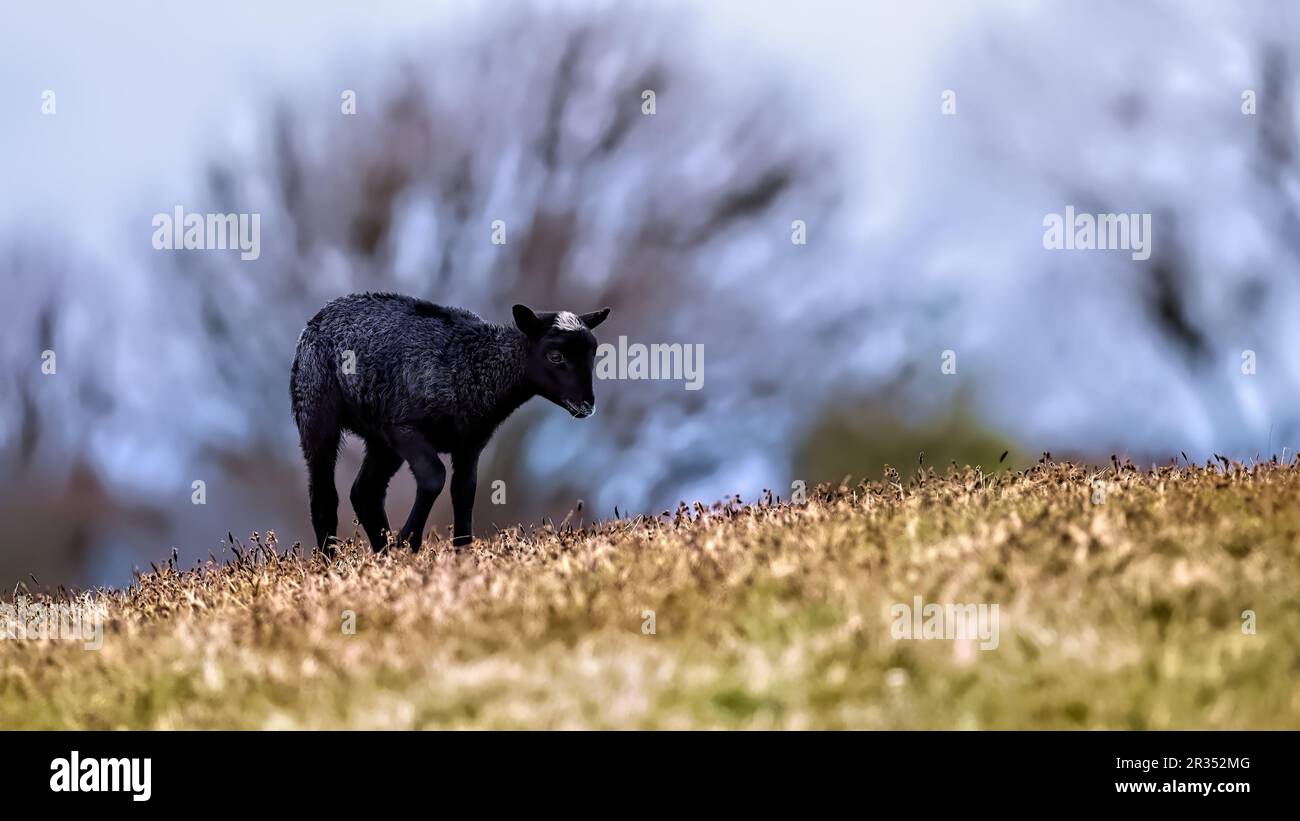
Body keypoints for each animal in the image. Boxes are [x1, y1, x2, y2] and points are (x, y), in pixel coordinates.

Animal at [289, 293, 610, 554]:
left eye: (593, 354)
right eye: (555, 356)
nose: (588, 404)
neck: (476, 364)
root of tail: (317, 318)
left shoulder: (470, 443)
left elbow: (464, 492)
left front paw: (460, 555)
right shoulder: (403, 426)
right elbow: (434, 477)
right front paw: (407, 544)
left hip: (381, 441)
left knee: (365, 492)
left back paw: (381, 557)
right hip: (316, 408)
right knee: (324, 495)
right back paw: (332, 564)